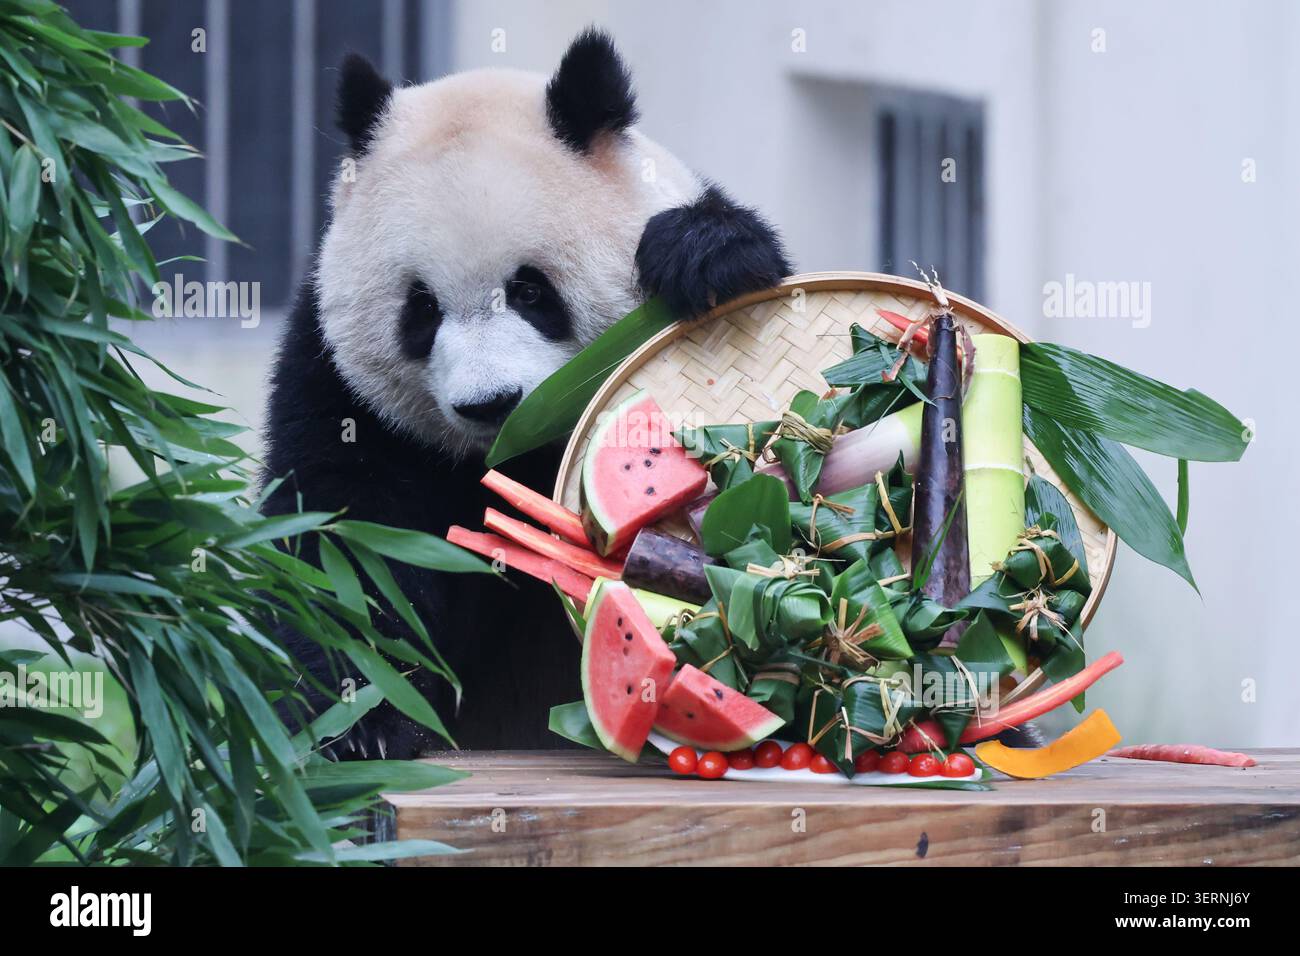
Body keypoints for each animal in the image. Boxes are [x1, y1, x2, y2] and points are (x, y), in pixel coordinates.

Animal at [262, 29, 790, 759]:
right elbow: (345, 541)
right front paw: (363, 724)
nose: (491, 403)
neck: (514, 453)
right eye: (420, 309)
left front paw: (705, 257)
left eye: (530, 290)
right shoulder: (339, 390)